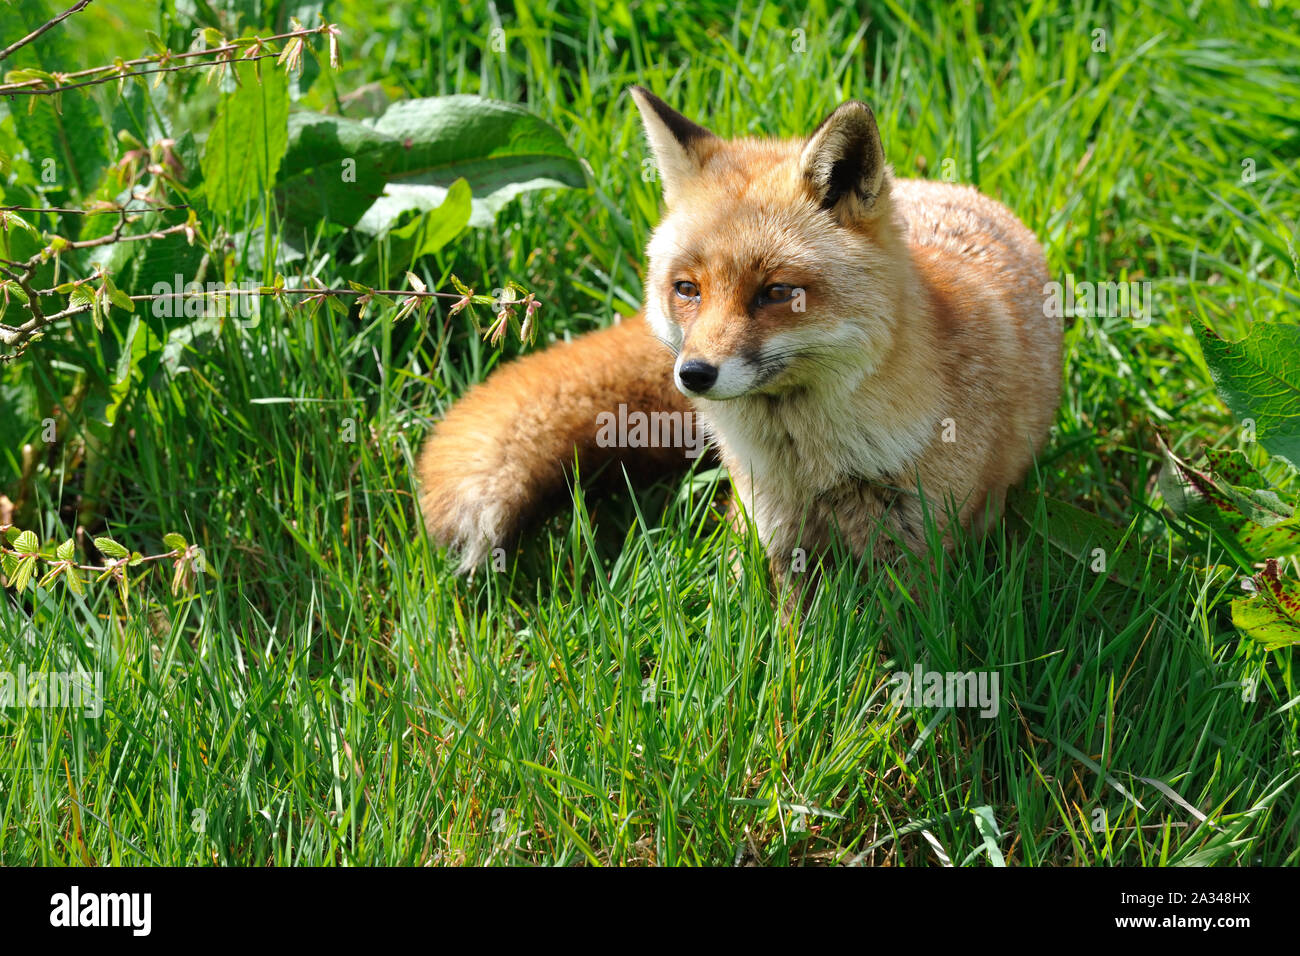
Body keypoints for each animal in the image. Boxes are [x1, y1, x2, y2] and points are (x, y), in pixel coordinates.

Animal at [417, 87, 1062, 584]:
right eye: (687, 289)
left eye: (776, 292)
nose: (693, 374)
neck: (816, 465)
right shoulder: (775, 532)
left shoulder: (918, 543)